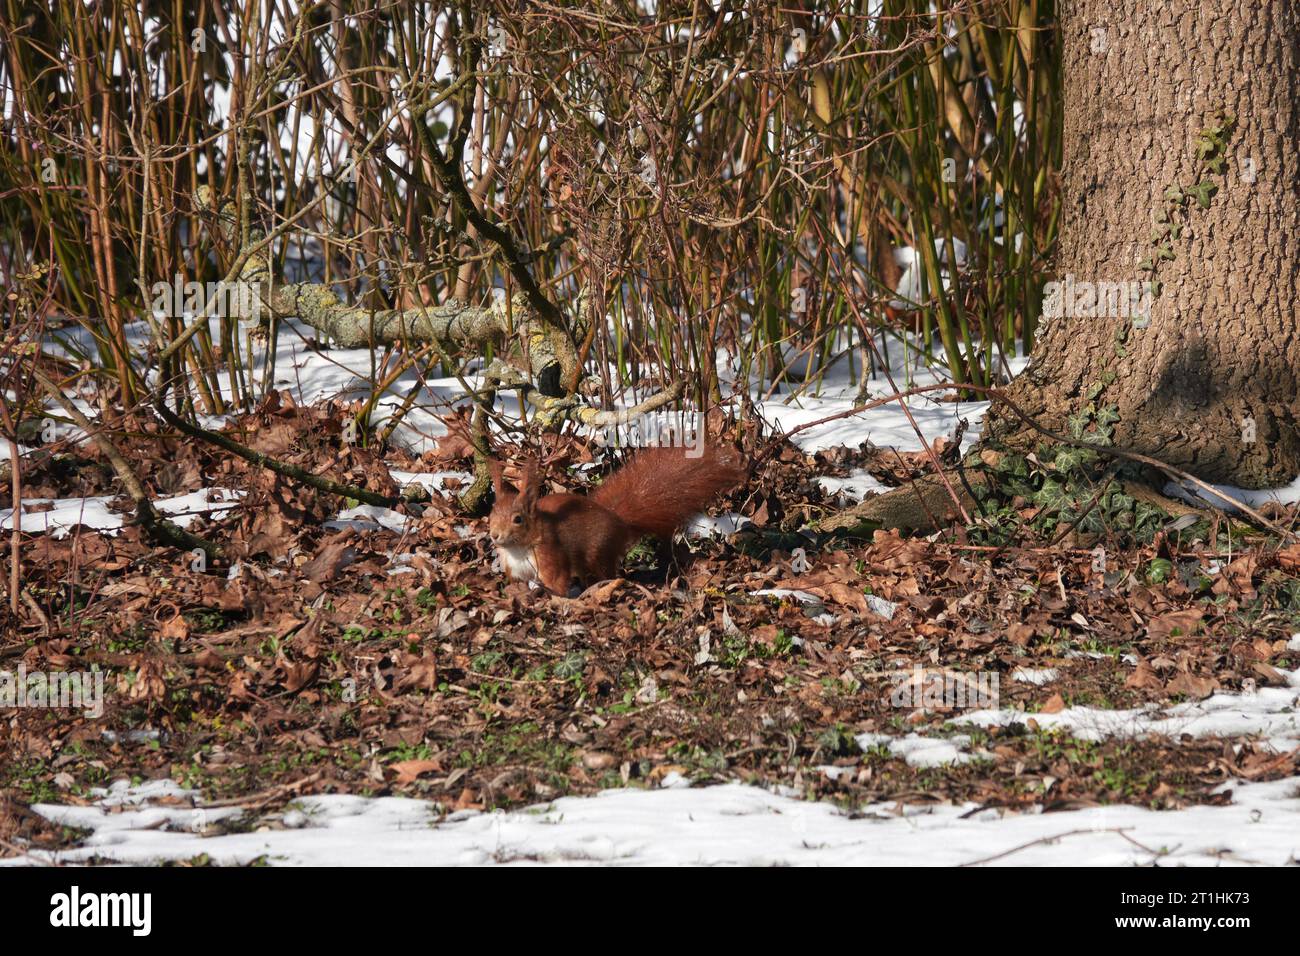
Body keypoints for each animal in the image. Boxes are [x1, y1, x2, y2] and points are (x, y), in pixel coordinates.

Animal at [488, 446, 743, 595]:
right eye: (490, 515)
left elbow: (557, 584)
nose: (494, 535)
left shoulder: (551, 557)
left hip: (599, 551)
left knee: (607, 572)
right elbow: (517, 586)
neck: (518, 549)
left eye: (518, 519)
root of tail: (616, 520)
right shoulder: (514, 570)